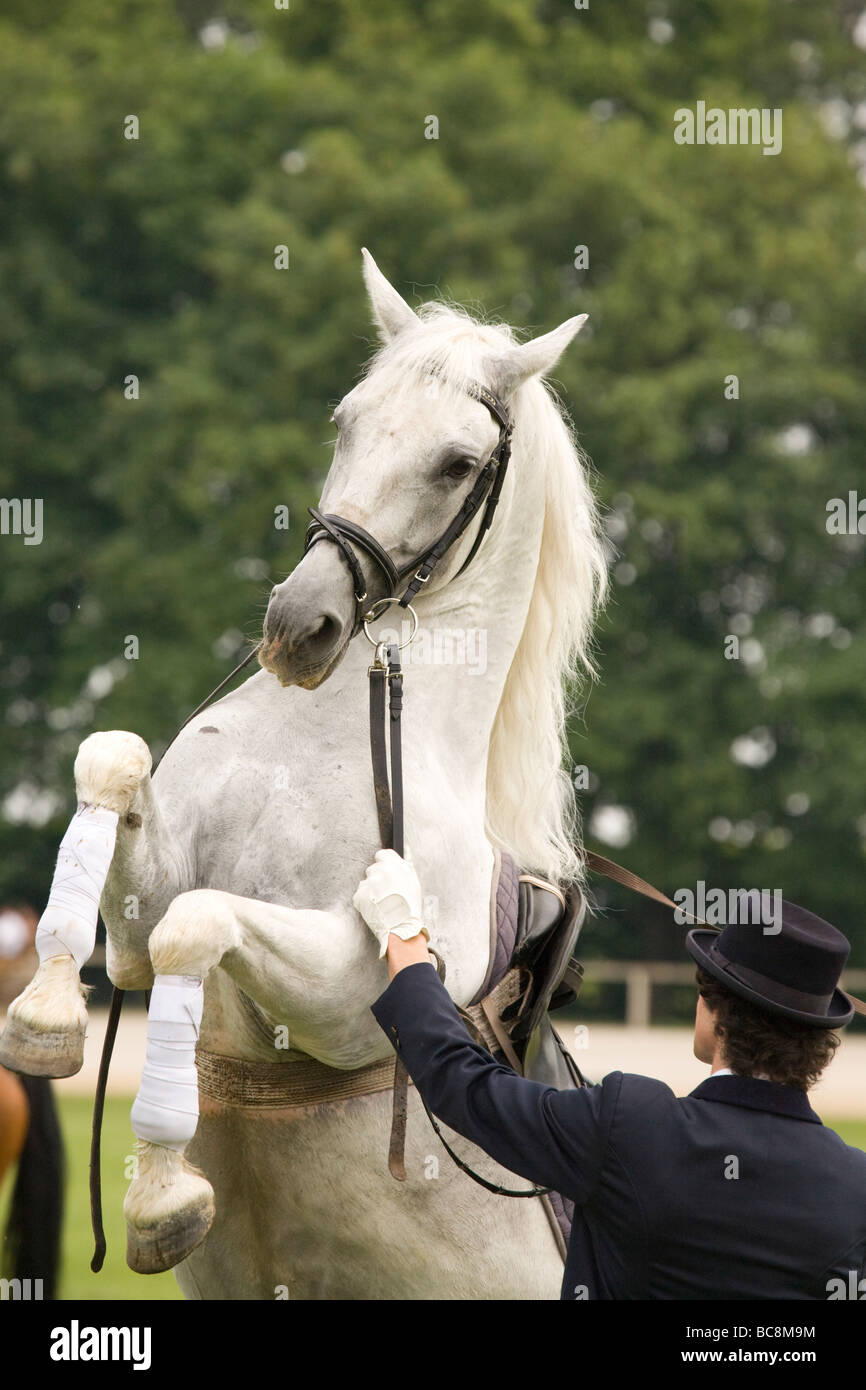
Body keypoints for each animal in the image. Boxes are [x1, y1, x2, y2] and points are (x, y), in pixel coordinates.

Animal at [0, 251, 607, 1298]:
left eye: (457, 464)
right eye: (347, 420)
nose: (300, 624)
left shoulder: (355, 996)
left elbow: (199, 925)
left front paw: (163, 1199)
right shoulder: (136, 923)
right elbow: (112, 763)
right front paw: (43, 1016)